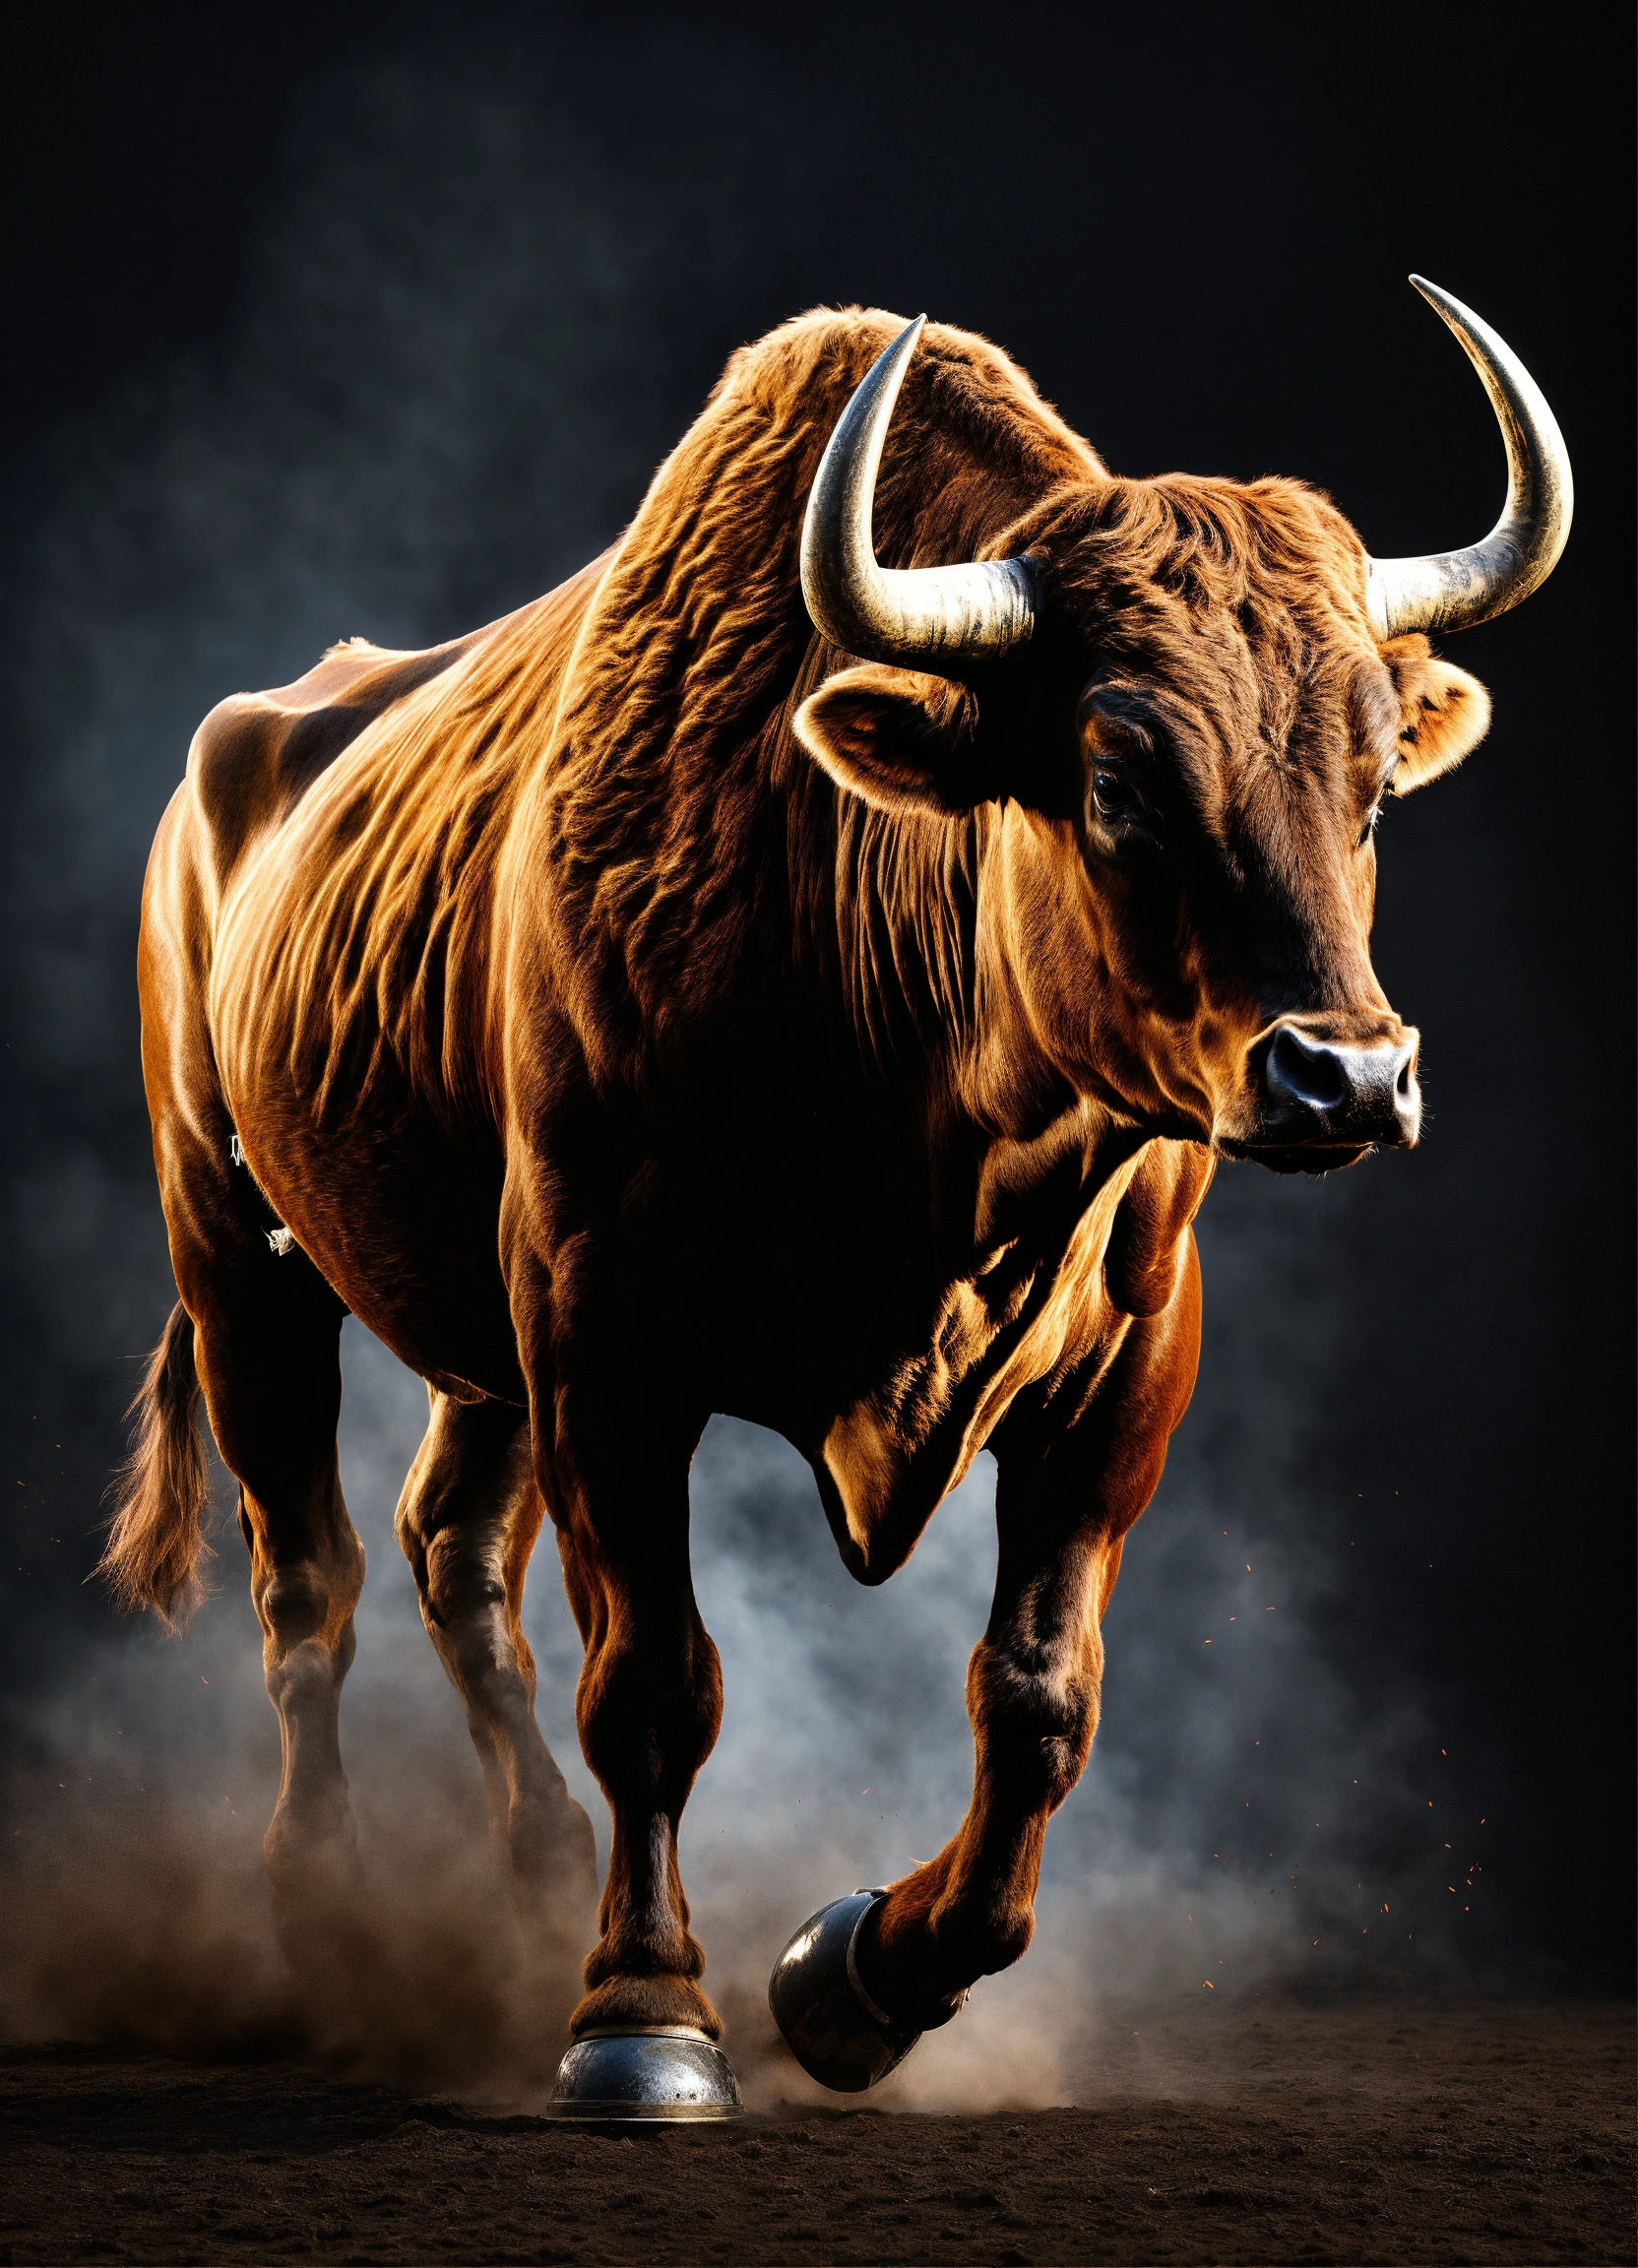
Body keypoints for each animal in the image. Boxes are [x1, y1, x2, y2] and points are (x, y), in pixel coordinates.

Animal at [101, 277, 1568, 2096]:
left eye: (1369, 783)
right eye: (1115, 783)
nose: (1348, 1075)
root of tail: (226, 768)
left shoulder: (1121, 1370)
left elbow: (1037, 1697)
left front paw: (859, 1975)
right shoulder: (606, 1345)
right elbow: (653, 1684)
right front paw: (644, 2012)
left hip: (468, 1342)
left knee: (453, 1556)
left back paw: (525, 1880)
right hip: (238, 1257)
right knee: (308, 1582)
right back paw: (319, 1911)